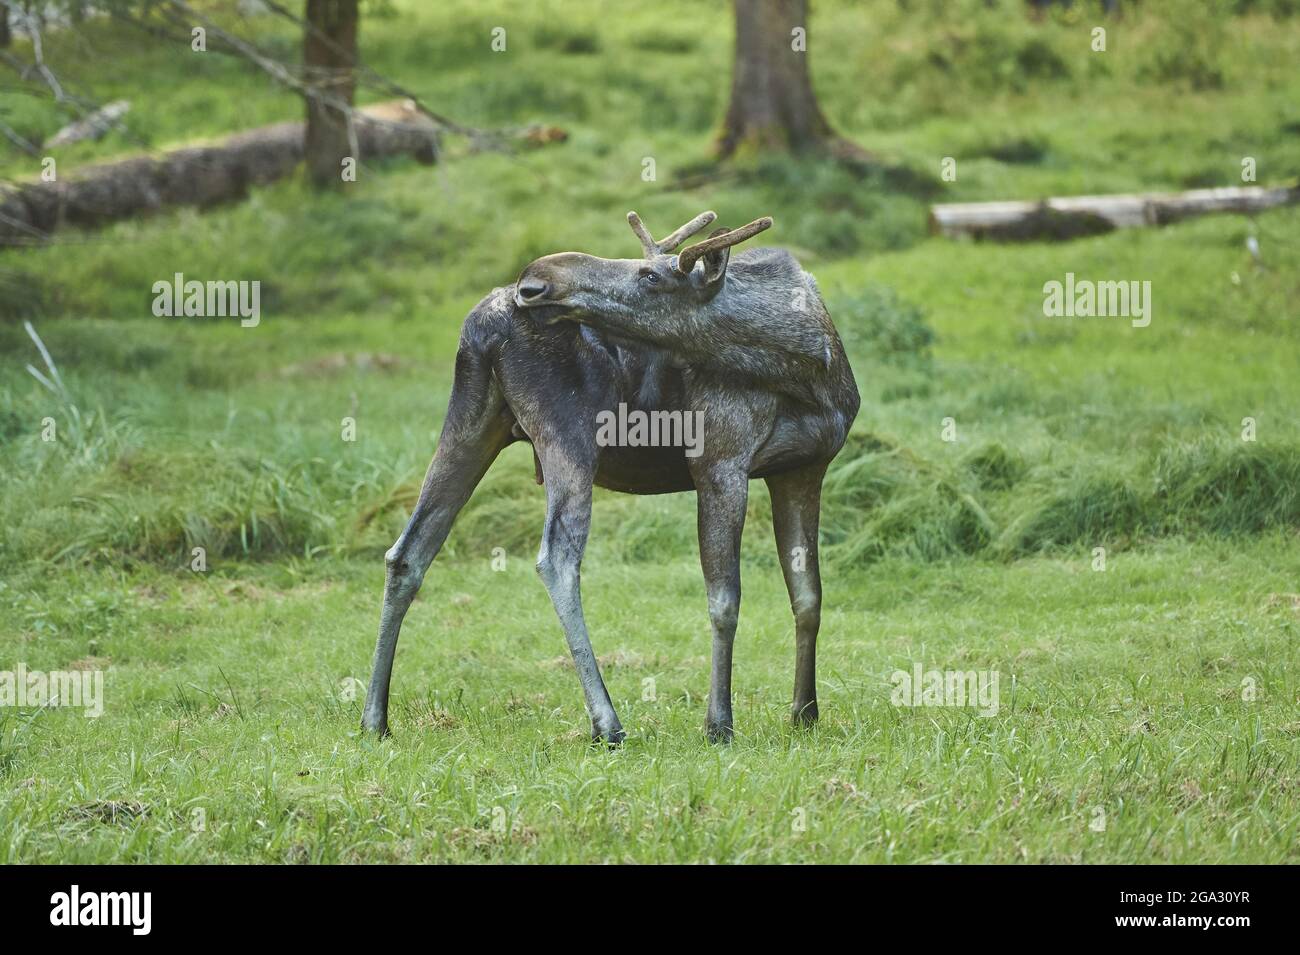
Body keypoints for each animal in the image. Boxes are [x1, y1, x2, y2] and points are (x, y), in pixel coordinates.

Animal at [362, 210, 860, 744]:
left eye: (650, 276)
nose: (534, 280)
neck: (806, 366)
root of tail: (480, 326)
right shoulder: (720, 461)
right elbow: (724, 600)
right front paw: (719, 723)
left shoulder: (804, 468)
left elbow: (808, 596)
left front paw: (805, 711)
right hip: (568, 433)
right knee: (556, 559)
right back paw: (608, 722)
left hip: (474, 423)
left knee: (407, 552)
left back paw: (374, 717)